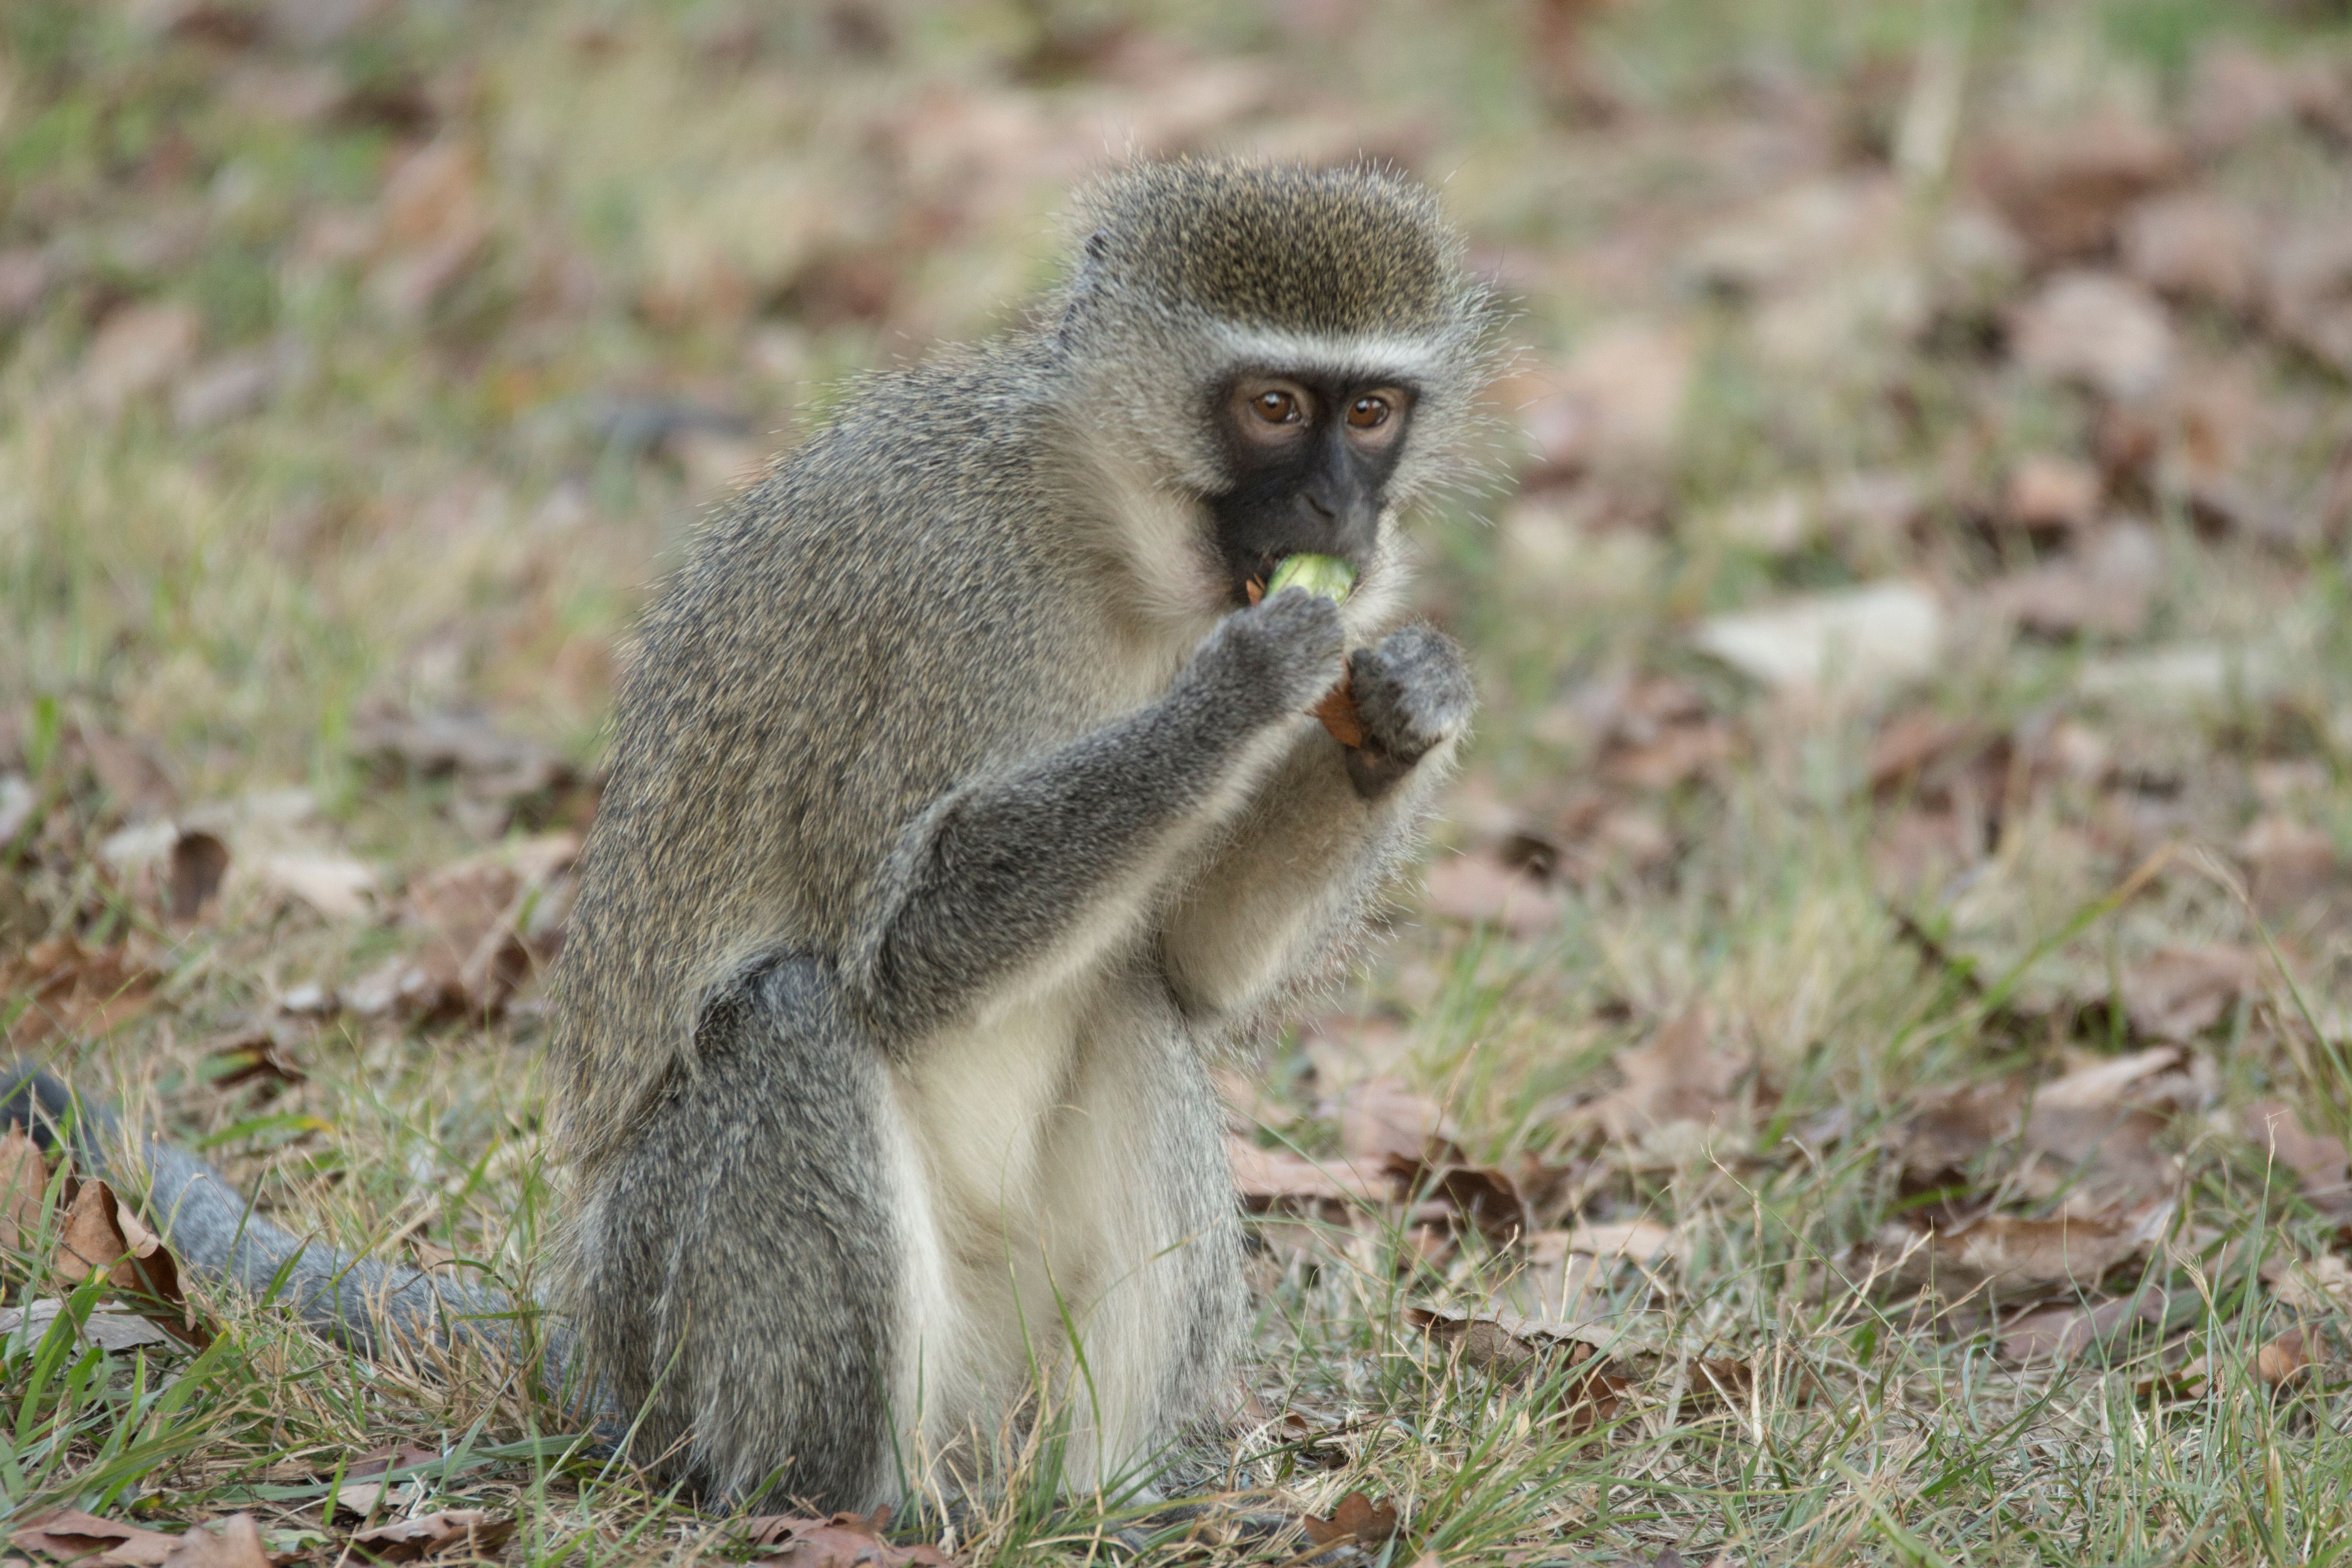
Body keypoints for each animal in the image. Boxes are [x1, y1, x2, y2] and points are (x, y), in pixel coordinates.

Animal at [3, 157, 1500, 1516]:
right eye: (1272, 407)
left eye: (1372, 412)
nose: (1341, 516)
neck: (1120, 551)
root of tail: (595, 1345)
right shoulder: (940, 591)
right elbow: (907, 951)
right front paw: (1244, 685)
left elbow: (1193, 971)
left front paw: (1405, 706)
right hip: (673, 1326)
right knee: (794, 1022)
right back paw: (844, 1508)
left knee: (1135, 1006)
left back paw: (1102, 1507)